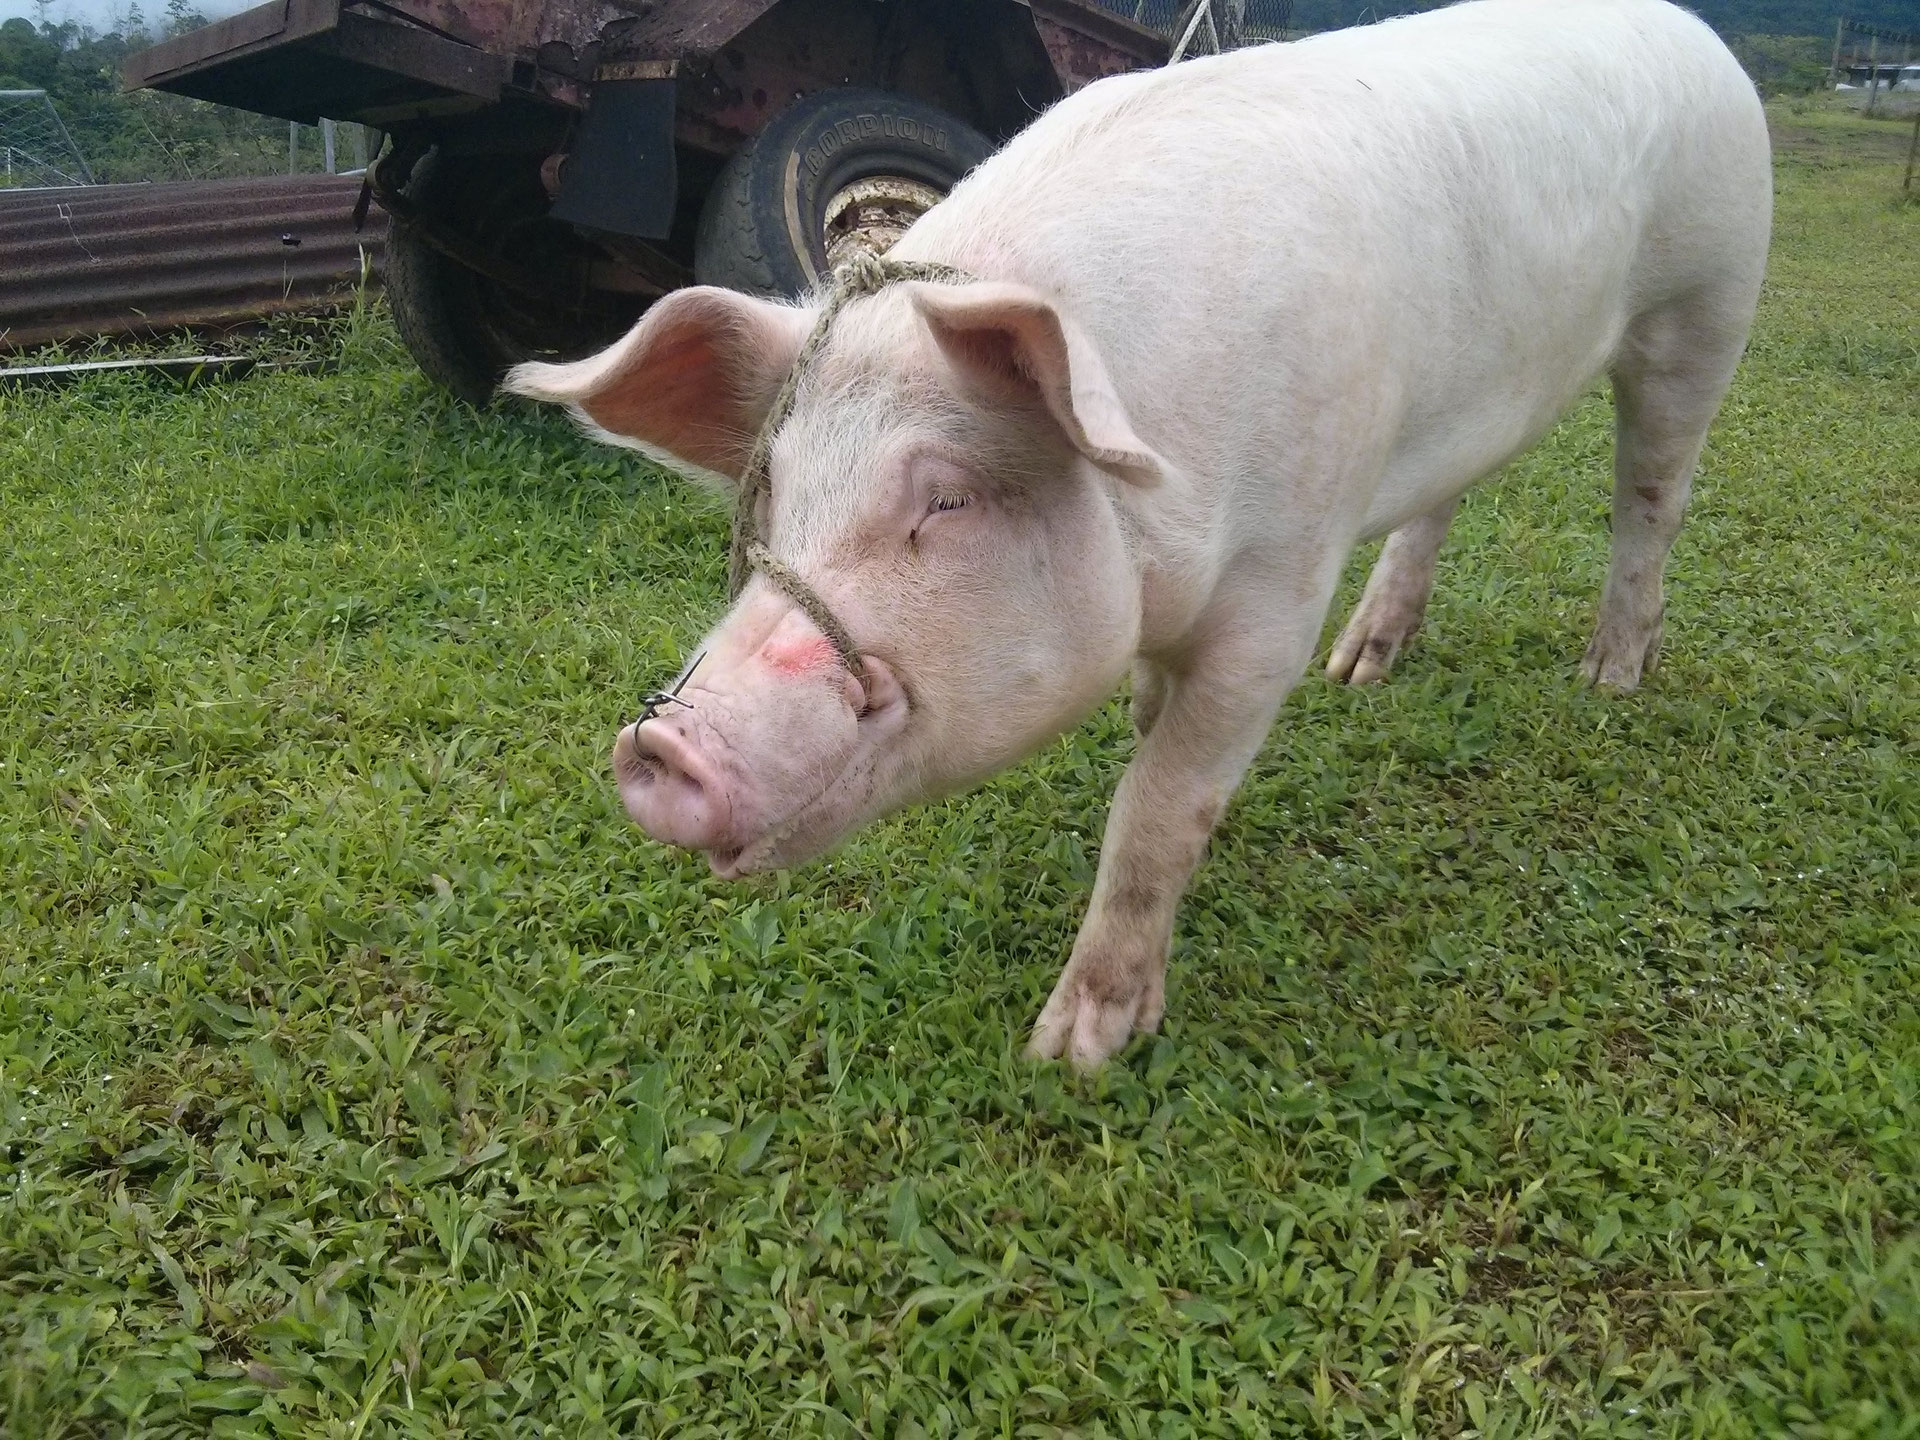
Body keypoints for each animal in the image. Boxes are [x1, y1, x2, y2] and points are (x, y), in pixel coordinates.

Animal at [505, 0, 1772, 1068]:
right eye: (771, 496)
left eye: (947, 502)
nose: (659, 748)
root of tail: (1688, 31)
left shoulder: (1280, 587)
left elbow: (1160, 810)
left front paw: (1072, 1053)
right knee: (1450, 495)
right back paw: (1364, 670)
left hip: (1708, 304)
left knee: (1653, 492)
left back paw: (1607, 680)